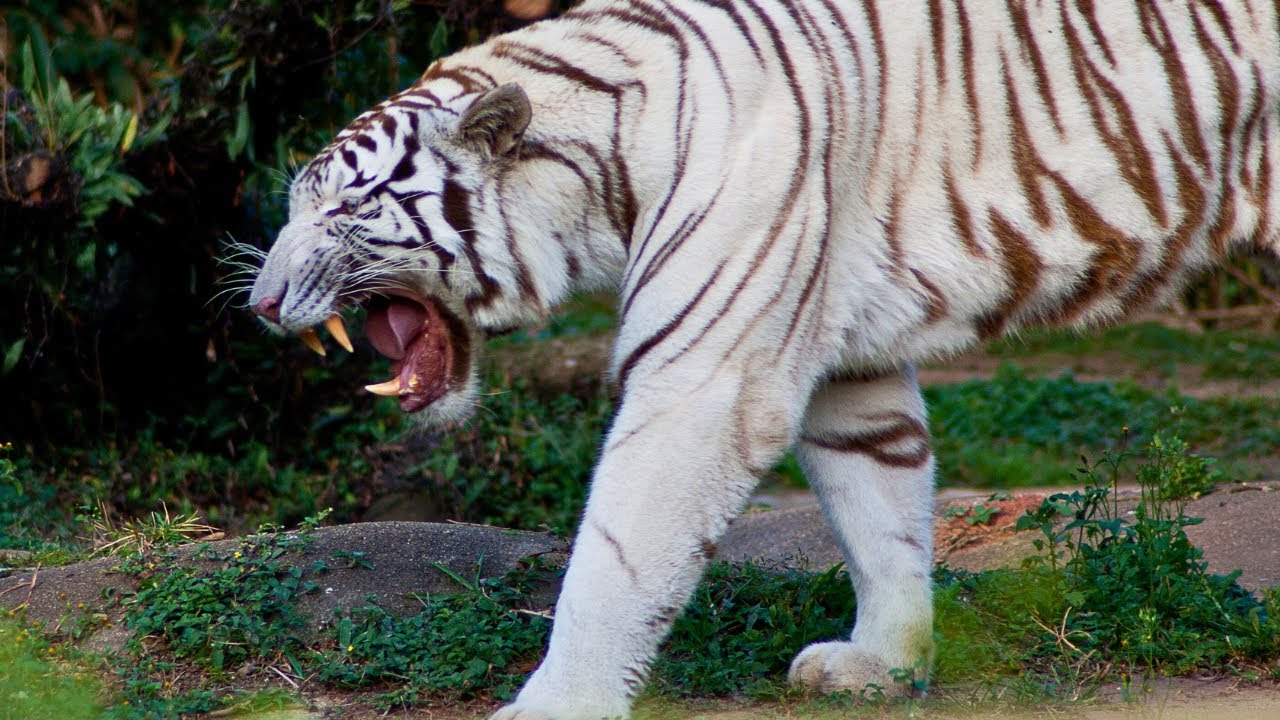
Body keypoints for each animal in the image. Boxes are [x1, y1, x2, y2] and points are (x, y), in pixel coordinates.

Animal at [247, 0, 1280, 717]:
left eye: (343, 208)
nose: (258, 302)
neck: (602, 173)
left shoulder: (708, 379)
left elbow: (616, 559)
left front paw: (556, 702)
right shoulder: (845, 360)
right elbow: (881, 504)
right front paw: (887, 663)